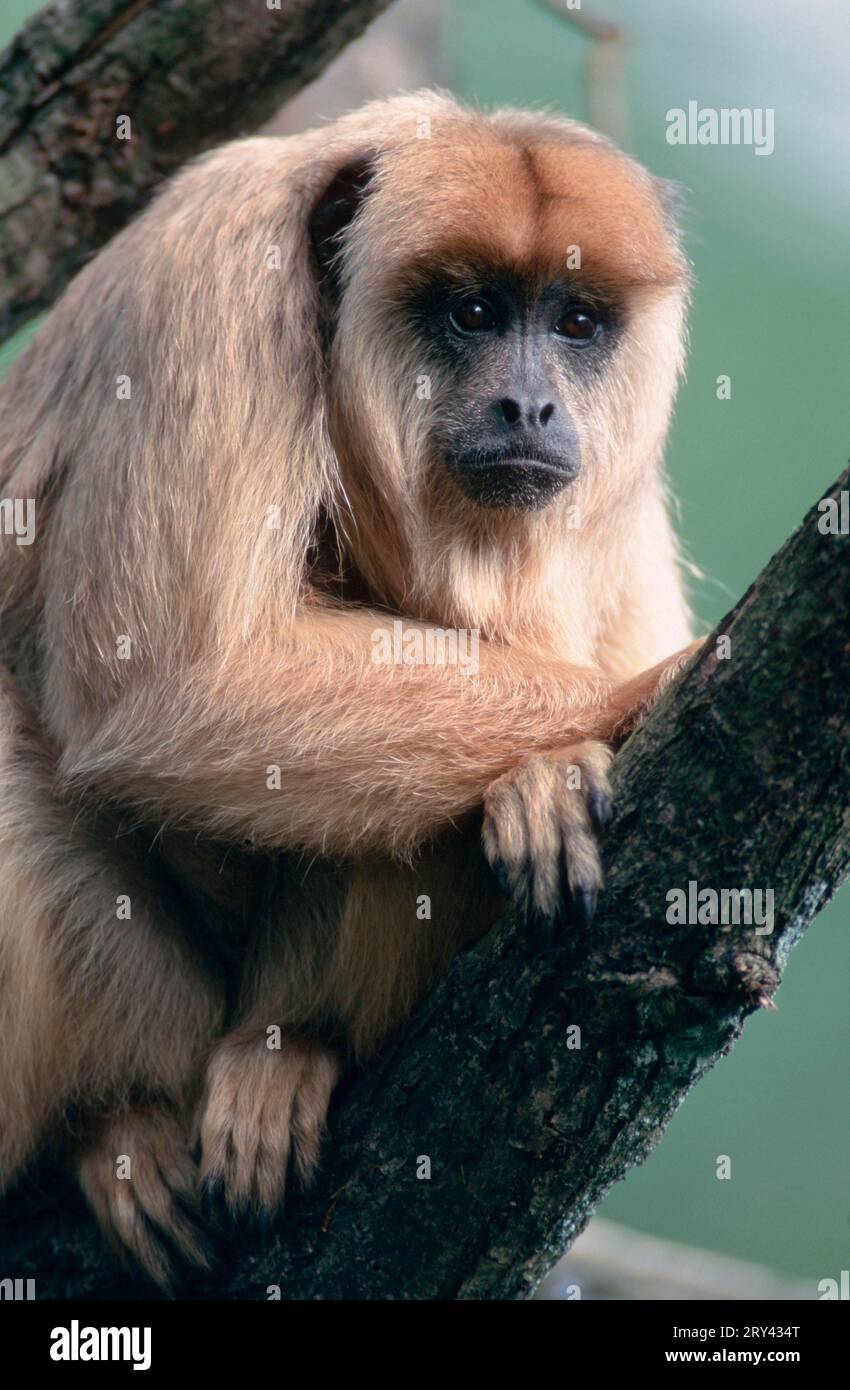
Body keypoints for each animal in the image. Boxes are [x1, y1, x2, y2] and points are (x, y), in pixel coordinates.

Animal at [0, 91, 699, 1286]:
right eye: (473, 312)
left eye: (574, 324)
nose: (529, 406)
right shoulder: (210, 287)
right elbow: (175, 687)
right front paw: (664, 686)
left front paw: (547, 778)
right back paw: (115, 1121)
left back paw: (294, 1045)